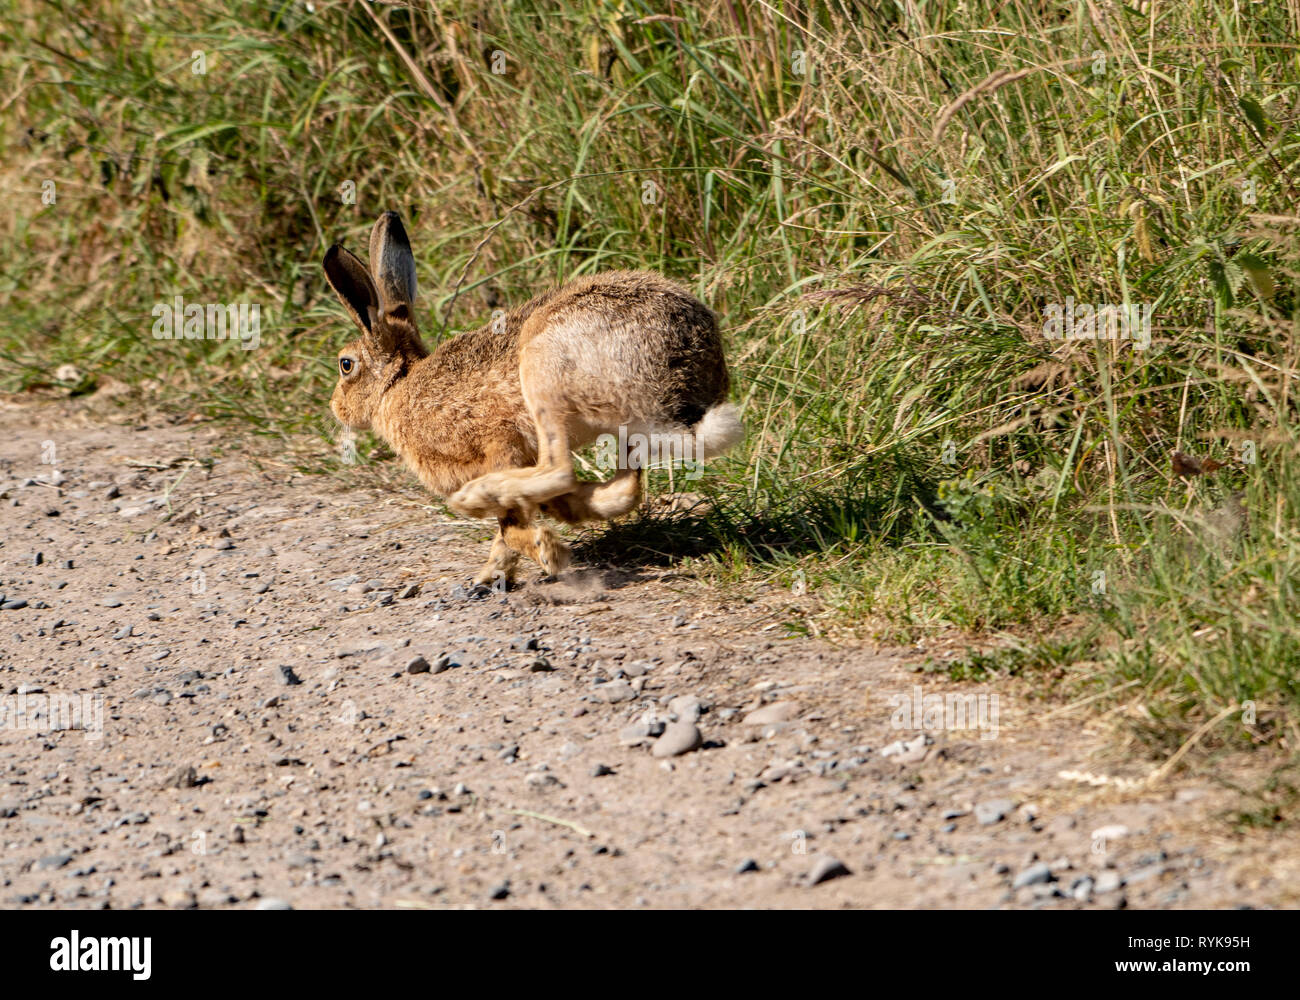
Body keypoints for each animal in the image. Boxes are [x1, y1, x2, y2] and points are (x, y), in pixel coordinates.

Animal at [323, 211, 743, 586]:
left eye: (346, 365)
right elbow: (513, 523)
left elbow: (511, 523)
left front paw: (540, 553)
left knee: (560, 469)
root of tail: (685, 376)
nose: (335, 408)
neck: (397, 386)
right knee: (624, 485)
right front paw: (494, 573)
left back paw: (475, 498)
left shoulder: (495, 439)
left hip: (543, 372)